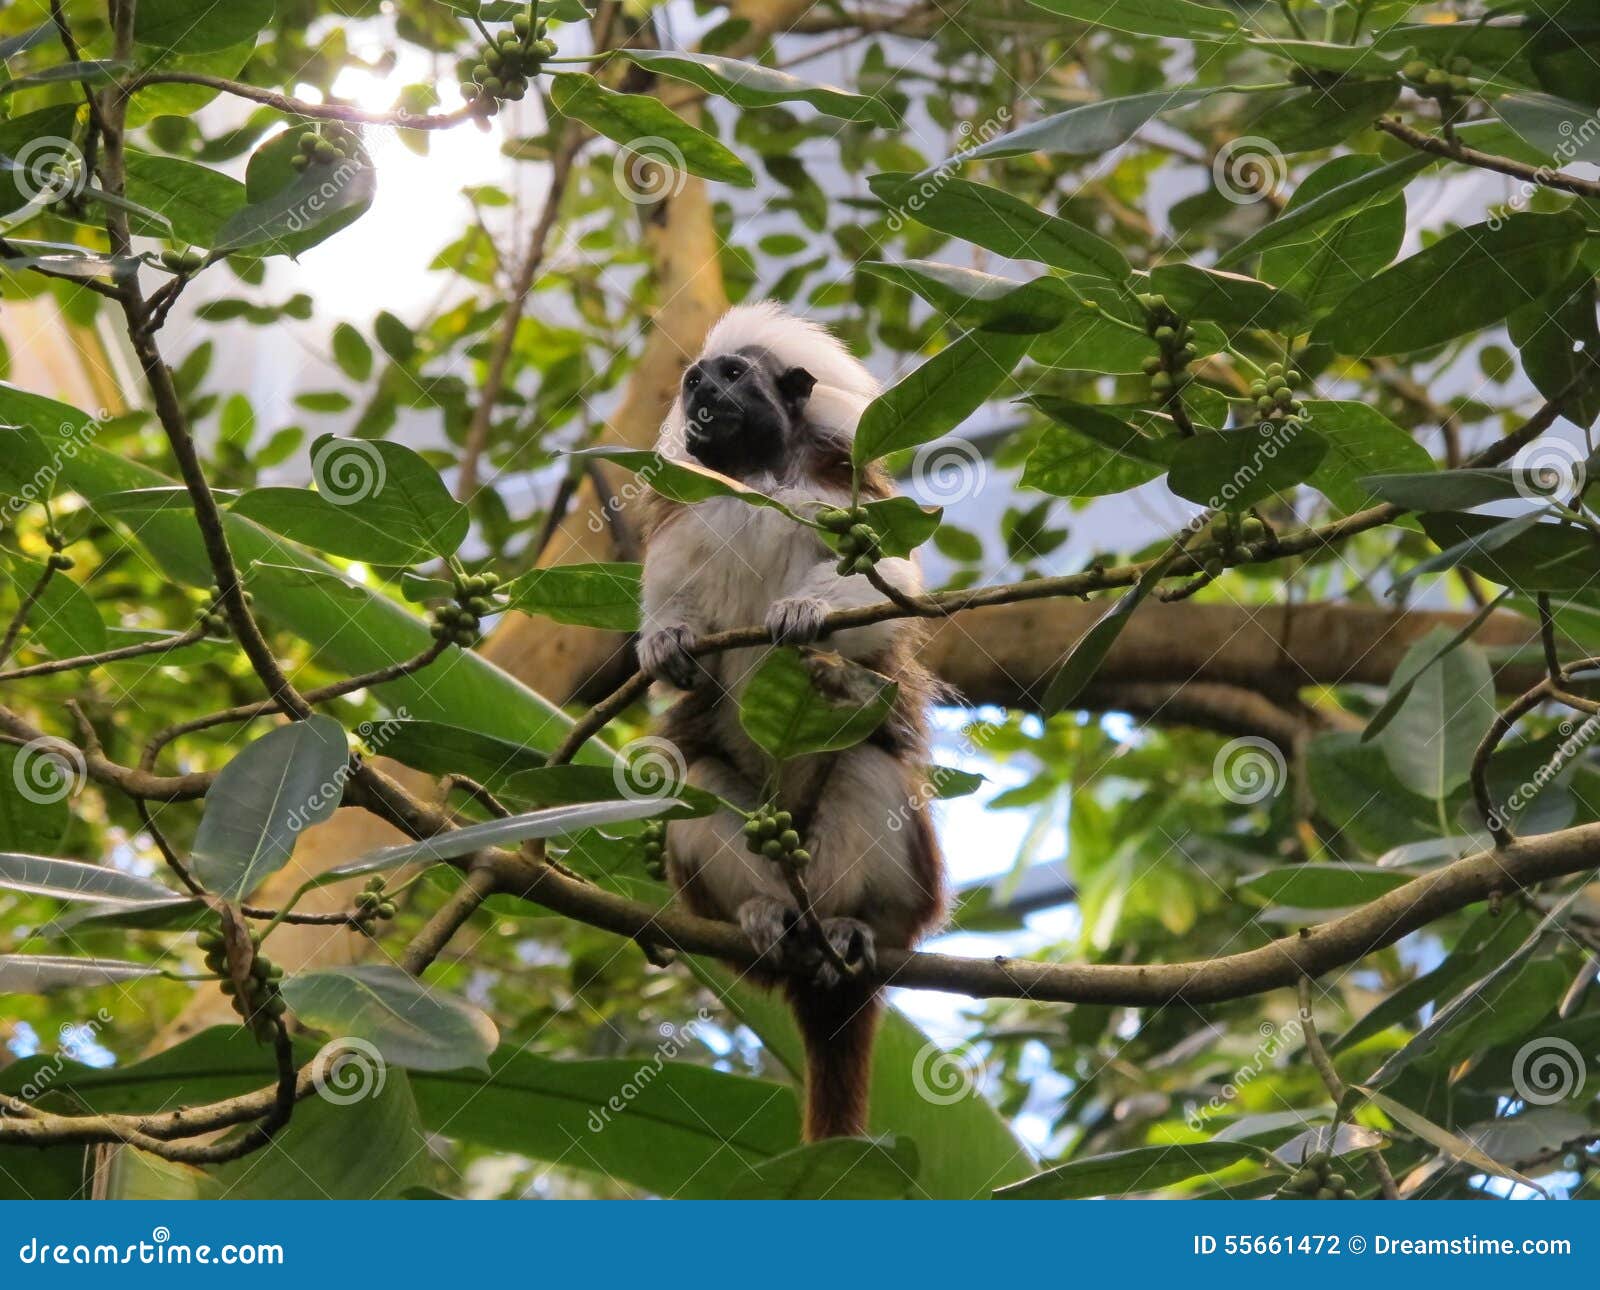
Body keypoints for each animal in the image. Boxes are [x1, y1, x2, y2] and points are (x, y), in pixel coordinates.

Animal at [637, 301, 948, 1142]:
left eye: (732, 374)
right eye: (693, 382)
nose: (702, 394)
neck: (761, 479)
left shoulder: (841, 495)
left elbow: (887, 583)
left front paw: (804, 610)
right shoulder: (691, 515)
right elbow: (668, 602)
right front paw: (667, 643)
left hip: (901, 896)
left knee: (872, 770)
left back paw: (846, 930)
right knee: (701, 777)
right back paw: (766, 916)